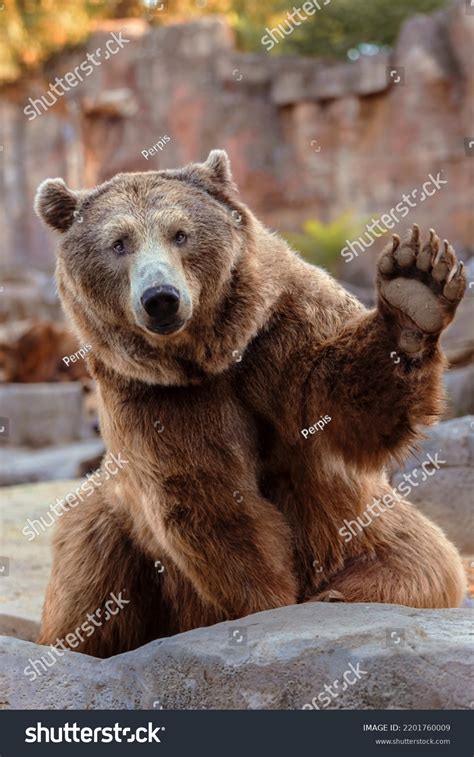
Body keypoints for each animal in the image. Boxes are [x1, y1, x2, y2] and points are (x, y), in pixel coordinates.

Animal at [34, 150, 467, 658]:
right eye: (119, 243)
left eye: (180, 233)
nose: (161, 298)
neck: (209, 356)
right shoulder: (154, 397)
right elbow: (213, 495)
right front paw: (269, 603)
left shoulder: (282, 325)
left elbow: (344, 405)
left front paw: (414, 288)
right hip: (109, 529)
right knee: (88, 588)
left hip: (373, 528)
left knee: (422, 565)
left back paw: (340, 591)